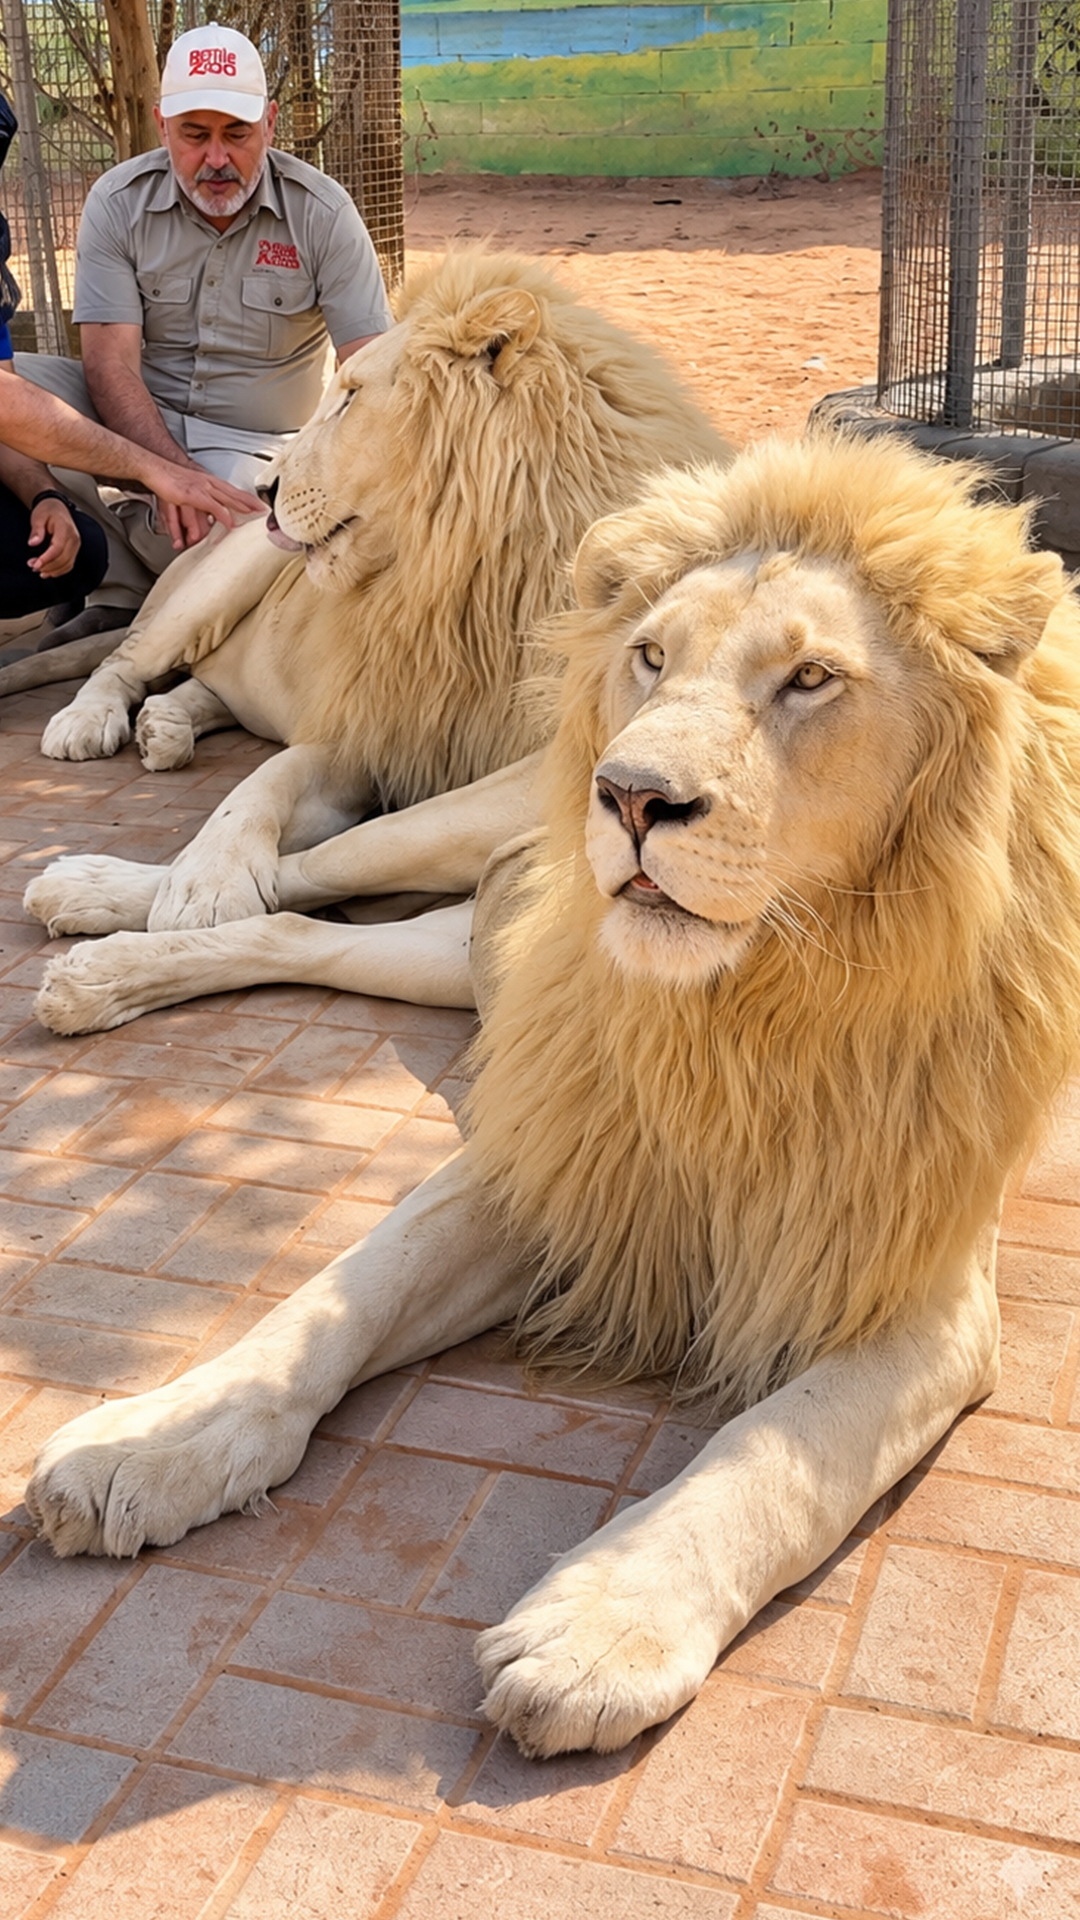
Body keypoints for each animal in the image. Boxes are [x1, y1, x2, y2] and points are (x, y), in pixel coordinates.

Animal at [25, 247, 729, 944]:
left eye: (351, 398)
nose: (262, 490)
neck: (462, 579)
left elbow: (351, 845)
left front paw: (136, 890)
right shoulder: (380, 728)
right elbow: (266, 782)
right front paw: (201, 878)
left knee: (202, 686)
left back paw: (164, 730)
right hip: (219, 579)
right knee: (124, 660)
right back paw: (88, 722)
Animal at [27, 434, 1080, 1761]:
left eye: (811, 679)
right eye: (651, 656)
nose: (629, 797)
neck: (748, 1001)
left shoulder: (924, 1288)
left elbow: (779, 1451)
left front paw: (603, 1626)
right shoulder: (557, 1142)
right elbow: (339, 1299)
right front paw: (151, 1443)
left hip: (455, 952)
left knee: (304, 934)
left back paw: (104, 961)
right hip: (442, 836)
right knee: (292, 875)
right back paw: (106, 897)